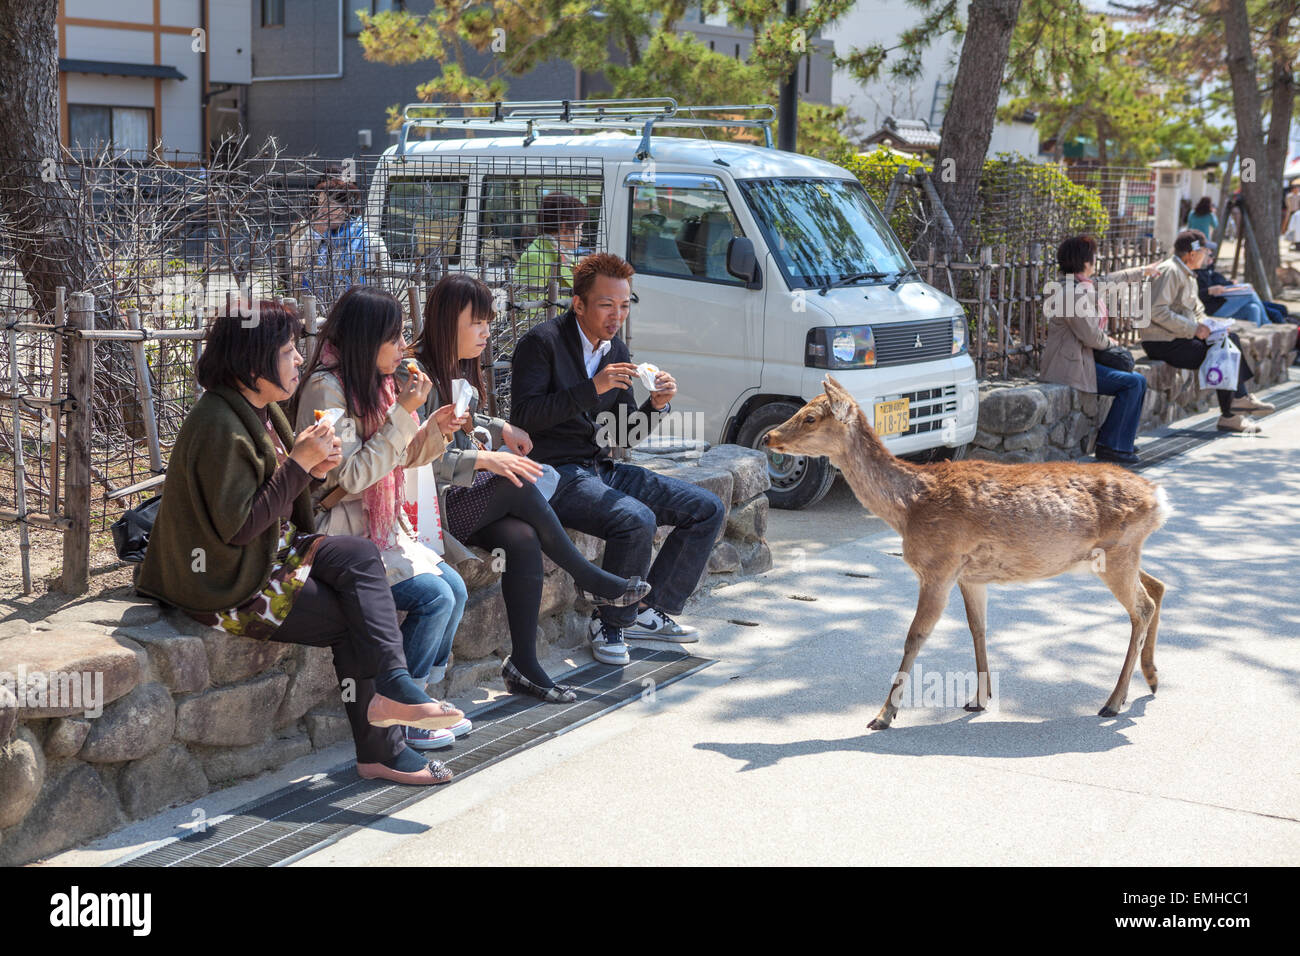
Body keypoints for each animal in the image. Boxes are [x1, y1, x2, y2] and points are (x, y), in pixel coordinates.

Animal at [764, 375, 1171, 729]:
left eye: (810, 416)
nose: (769, 436)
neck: (910, 508)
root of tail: (1158, 499)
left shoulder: (939, 565)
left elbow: (915, 635)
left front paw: (883, 715)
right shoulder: (971, 575)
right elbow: (978, 628)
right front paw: (978, 698)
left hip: (1116, 555)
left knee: (1142, 607)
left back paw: (1113, 702)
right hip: (1116, 555)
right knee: (1158, 585)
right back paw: (1151, 679)